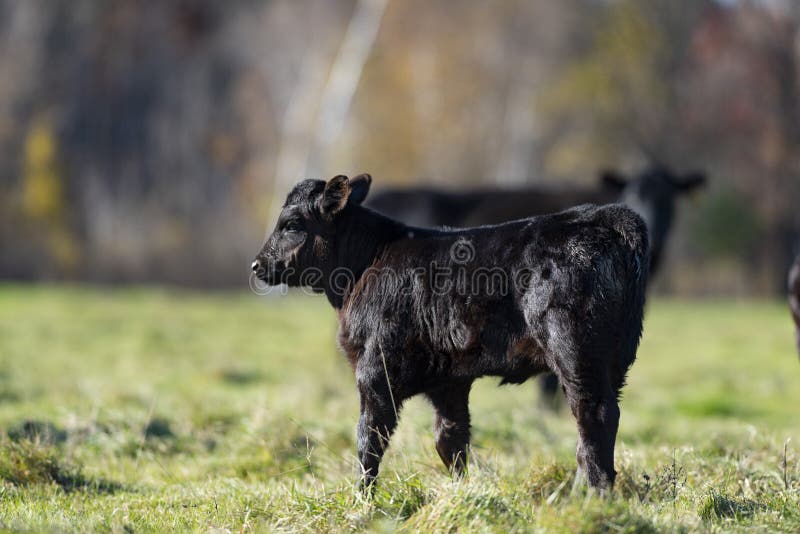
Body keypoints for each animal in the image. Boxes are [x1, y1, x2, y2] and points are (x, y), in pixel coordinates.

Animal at [252, 174, 649, 491]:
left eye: (291, 223)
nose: (257, 264)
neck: (366, 264)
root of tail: (601, 216)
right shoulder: (449, 381)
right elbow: (451, 440)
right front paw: (462, 492)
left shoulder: (375, 371)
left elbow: (369, 439)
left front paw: (362, 500)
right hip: (615, 361)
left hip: (576, 353)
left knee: (594, 416)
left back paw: (593, 493)